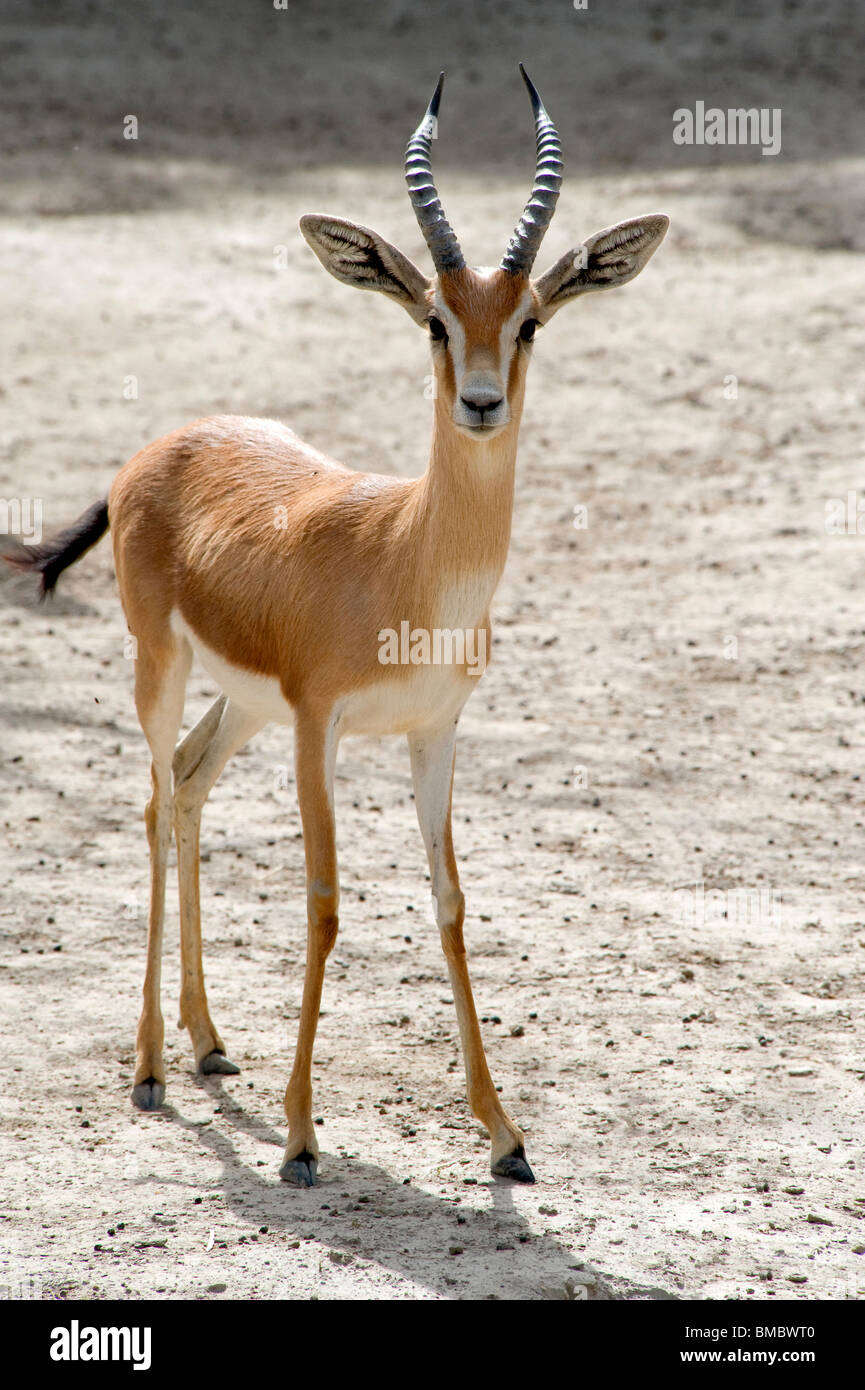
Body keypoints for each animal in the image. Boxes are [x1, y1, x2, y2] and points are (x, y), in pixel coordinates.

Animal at [7, 68, 668, 1186]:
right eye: (434, 320)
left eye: (529, 320)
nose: (480, 403)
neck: (407, 560)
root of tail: (162, 445)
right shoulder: (320, 728)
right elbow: (322, 902)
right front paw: (303, 1137)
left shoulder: (433, 732)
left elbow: (449, 904)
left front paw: (504, 1136)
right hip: (162, 668)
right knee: (152, 802)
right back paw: (149, 1068)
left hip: (242, 706)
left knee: (187, 788)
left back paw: (209, 1044)